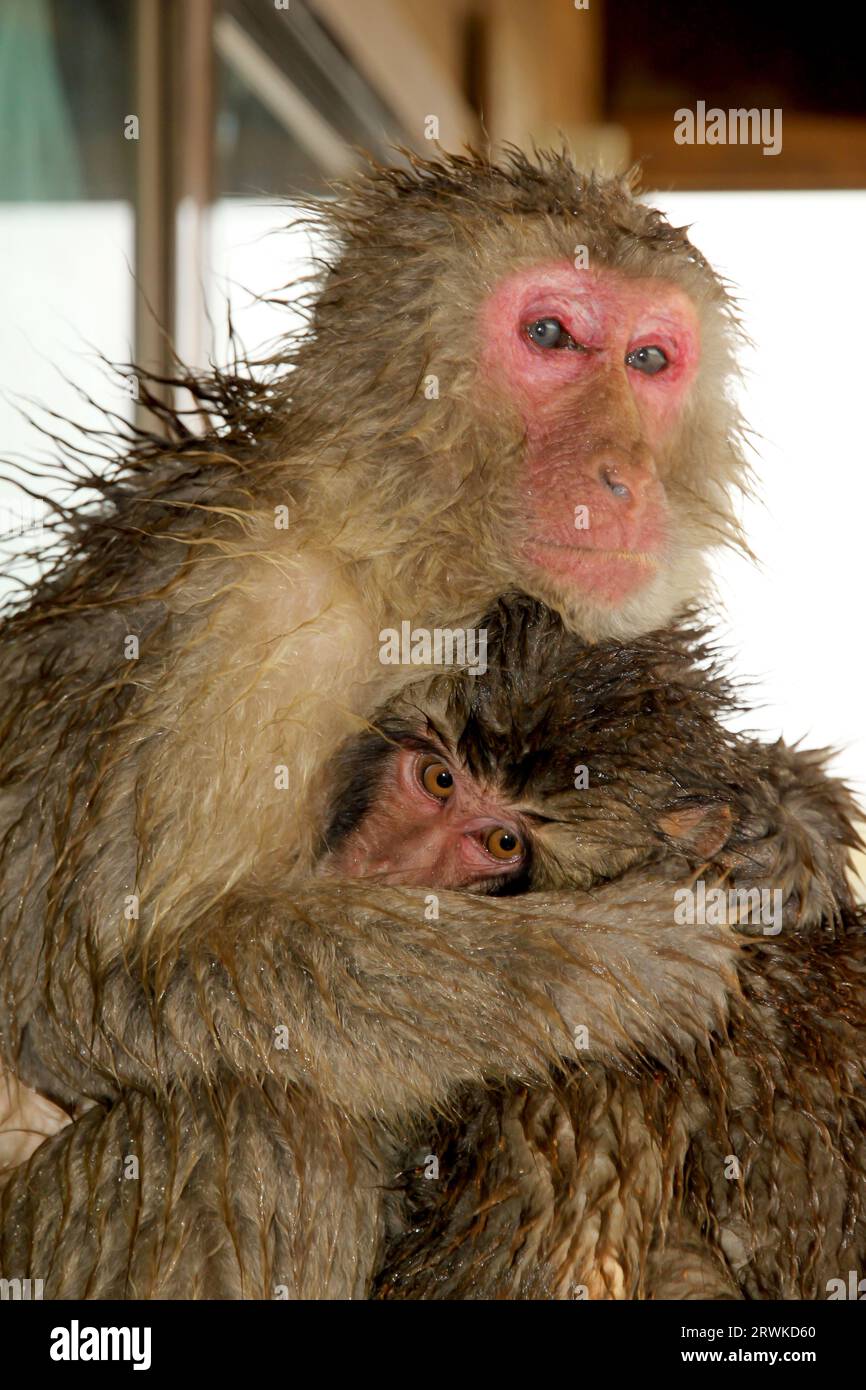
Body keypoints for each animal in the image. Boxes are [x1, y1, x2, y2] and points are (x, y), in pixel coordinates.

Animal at [0, 147, 845, 1296]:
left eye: (648, 359)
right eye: (549, 335)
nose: (623, 475)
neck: (398, 561)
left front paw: (785, 827)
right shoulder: (245, 608)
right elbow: (96, 984)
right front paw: (602, 964)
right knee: (263, 1128)